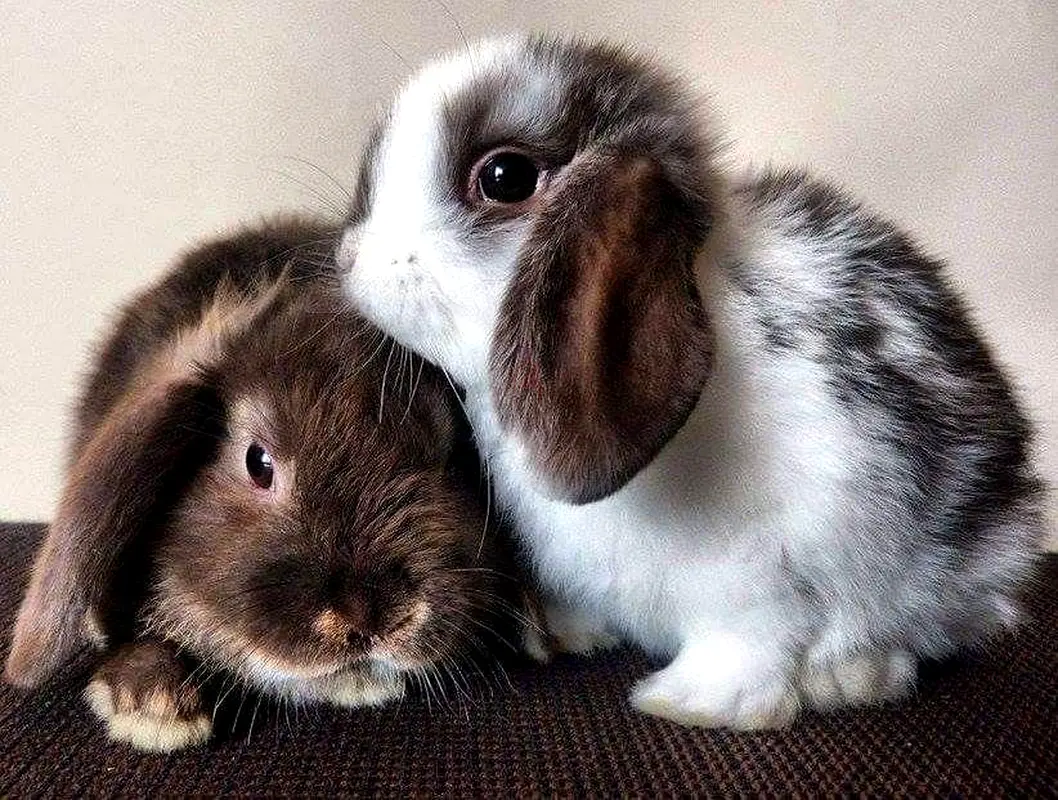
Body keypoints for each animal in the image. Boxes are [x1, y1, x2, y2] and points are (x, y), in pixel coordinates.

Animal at [336, 34, 1048, 729]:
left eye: (504, 177)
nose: (348, 258)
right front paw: (563, 636)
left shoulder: (765, 575)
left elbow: (751, 642)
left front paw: (689, 702)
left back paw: (851, 677)